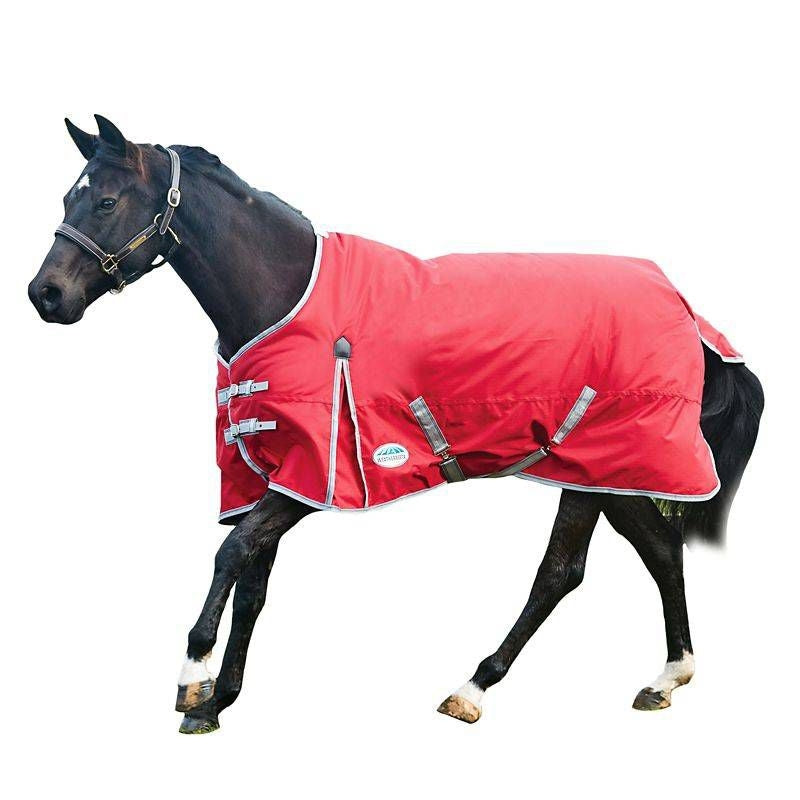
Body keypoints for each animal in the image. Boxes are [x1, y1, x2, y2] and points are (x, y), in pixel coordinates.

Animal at [28, 116, 764, 734]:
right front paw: (221, 700)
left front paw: (193, 679)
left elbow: (232, 555)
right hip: (604, 468)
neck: (286, 299)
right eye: (67, 198)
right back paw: (662, 677)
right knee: (647, 553)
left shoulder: (312, 478)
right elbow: (255, 582)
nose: (45, 295)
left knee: (568, 569)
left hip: (603, 464)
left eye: (104, 202)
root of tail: (684, 308)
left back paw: (477, 687)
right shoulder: (267, 472)